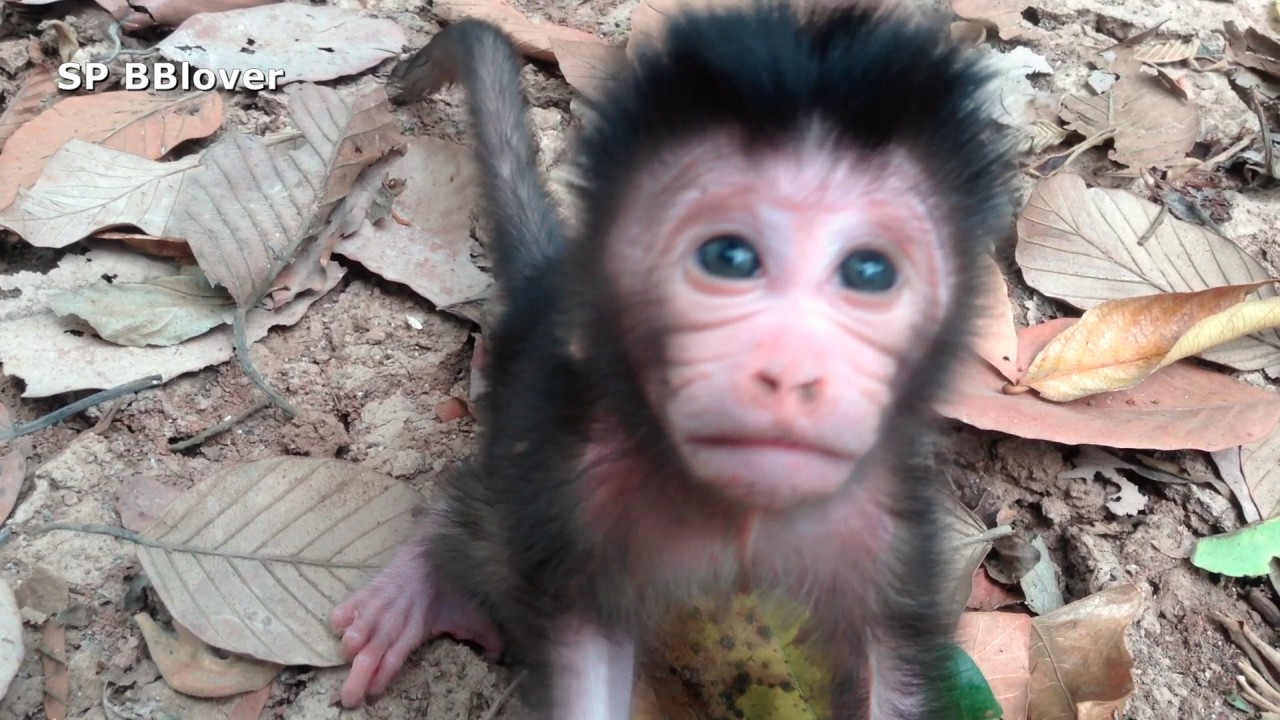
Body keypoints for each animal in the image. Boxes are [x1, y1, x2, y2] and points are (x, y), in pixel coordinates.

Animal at [330, 3, 1012, 717]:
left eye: (869, 272)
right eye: (729, 258)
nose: (790, 372)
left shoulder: (892, 521)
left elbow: (893, 670)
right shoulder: (582, 487)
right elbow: (585, 646)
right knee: (491, 523)